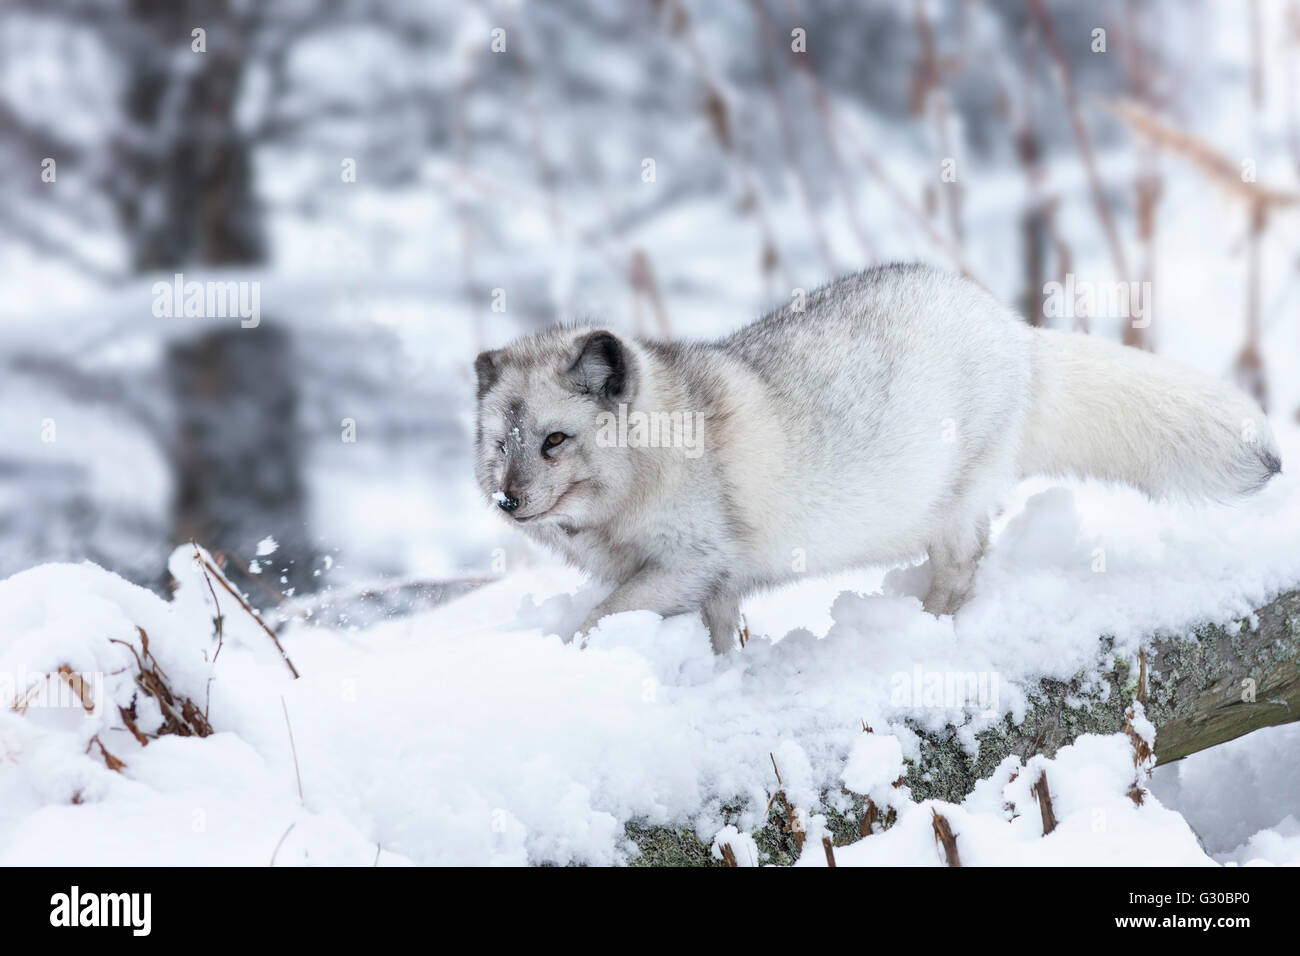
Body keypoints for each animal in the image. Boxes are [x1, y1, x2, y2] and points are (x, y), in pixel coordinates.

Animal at [473, 264, 1281, 654]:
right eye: (499, 444)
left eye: (554, 440)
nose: (507, 501)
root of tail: (1012, 328)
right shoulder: (712, 584)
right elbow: (718, 634)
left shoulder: (692, 560)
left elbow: (600, 617)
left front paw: (565, 654)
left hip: (954, 500)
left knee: (963, 565)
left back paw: (928, 623)